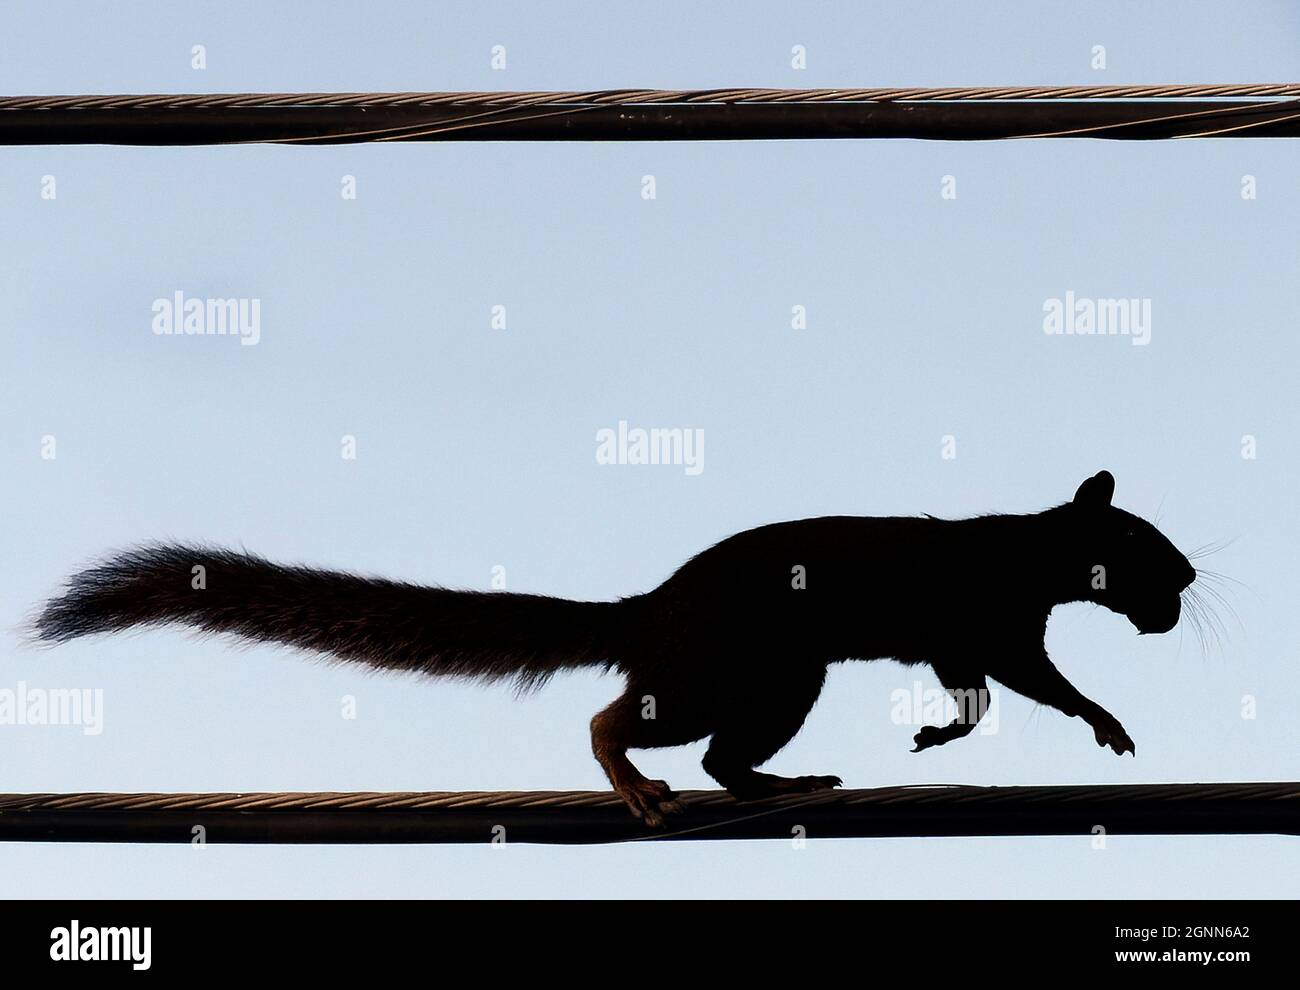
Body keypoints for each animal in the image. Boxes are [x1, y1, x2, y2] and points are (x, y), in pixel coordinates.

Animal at [34, 470, 1196, 826]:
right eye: (1144, 544)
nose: (1187, 583)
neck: (1034, 551)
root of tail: (650, 604)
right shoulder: (996, 625)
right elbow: (1035, 683)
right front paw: (1107, 723)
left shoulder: (969, 643)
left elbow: (975, 695)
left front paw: (937, 740)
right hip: (738, 671)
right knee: (626, 721)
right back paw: (637, 782)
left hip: (769, 680)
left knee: (725, 760)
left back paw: (785, 782)